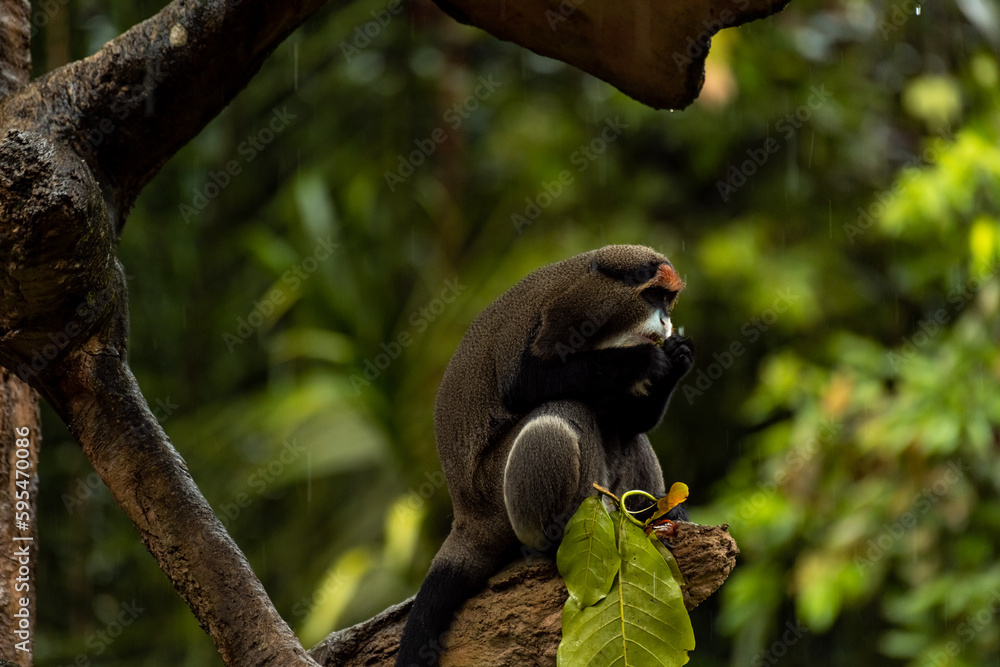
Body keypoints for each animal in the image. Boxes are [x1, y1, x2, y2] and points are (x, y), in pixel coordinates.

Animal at [395, 244, 694, 667]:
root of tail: (467, 517)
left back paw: (655, 514)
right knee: (562, 410)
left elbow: (628, 419)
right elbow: (525, 382)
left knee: (623, 431)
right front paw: (645, 360)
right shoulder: (568, 310)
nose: (666, 321)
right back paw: (560, 536)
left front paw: (678, 358)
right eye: (652, 296)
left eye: (668, 300)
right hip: (495, 494)